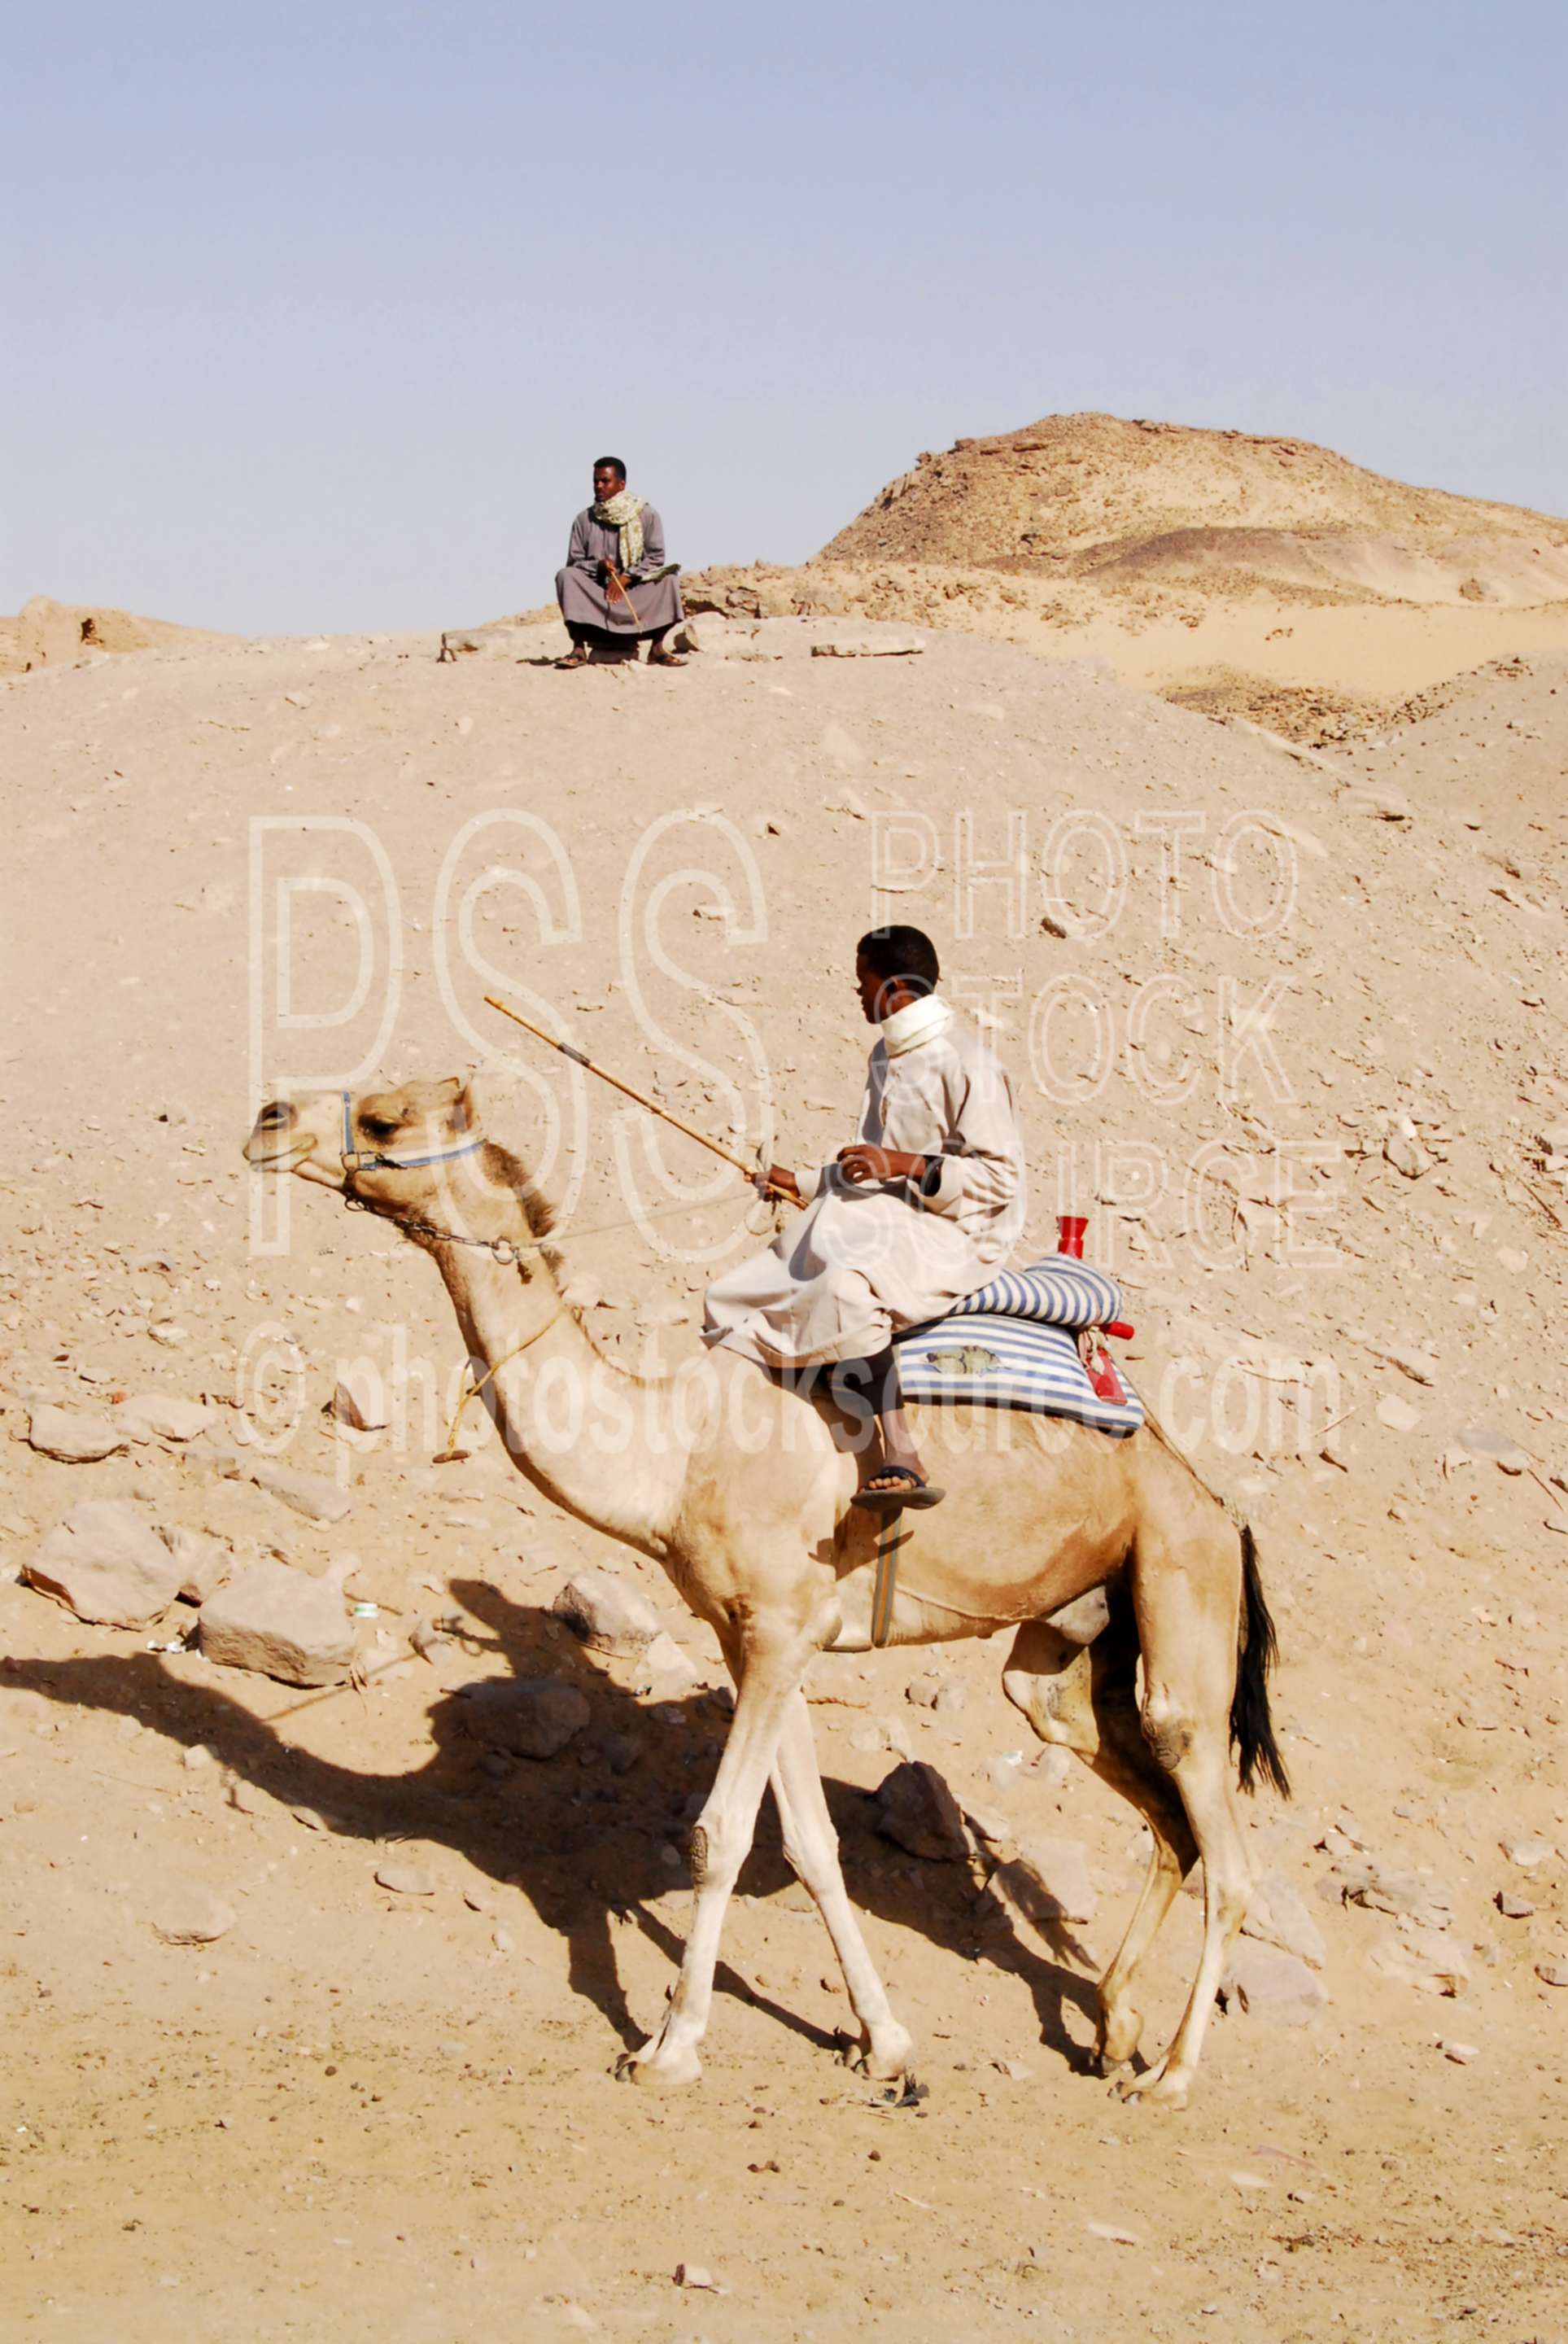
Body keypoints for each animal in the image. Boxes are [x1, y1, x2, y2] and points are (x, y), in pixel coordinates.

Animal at [244, 1072, 1289, 2108]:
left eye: (384, 1120)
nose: (266, 1121)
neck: (676, 1451)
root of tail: (1217, 1505)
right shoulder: (756, 1635)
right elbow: (812, 1847)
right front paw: (887, 2047)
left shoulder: (783, 1626)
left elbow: (720, 1834)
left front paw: (667, 2049)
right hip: (1073, 1643)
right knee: (1139, 1795)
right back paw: (1115, 2029)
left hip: (1181, 1581)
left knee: (1223, 1841)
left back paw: (1169, 2076)